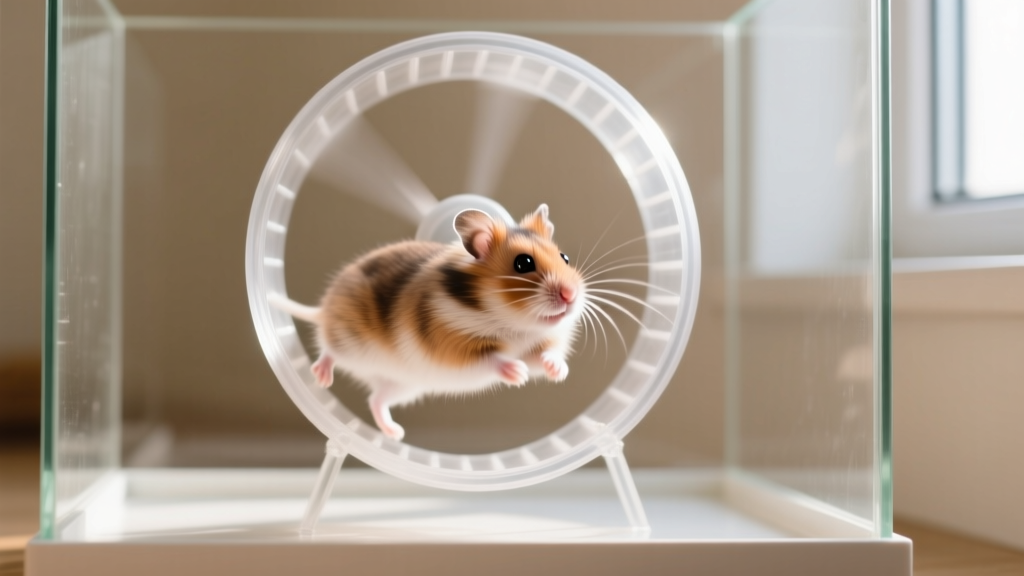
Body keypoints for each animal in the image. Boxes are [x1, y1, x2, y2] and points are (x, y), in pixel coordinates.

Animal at [271, 204, 585, 441]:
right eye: (523, 263)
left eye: (565, 257)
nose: (571, 295)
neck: (515, 323)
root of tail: (323, 310)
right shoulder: (452, 347)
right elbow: (491, 358)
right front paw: (517, 373)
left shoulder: (539, 343)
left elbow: (544, 356)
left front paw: (558, 372)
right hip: (350, 341)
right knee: (328, 350)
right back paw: (322, 378)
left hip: (403, 385)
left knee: (375, 400)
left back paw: (394, 434)